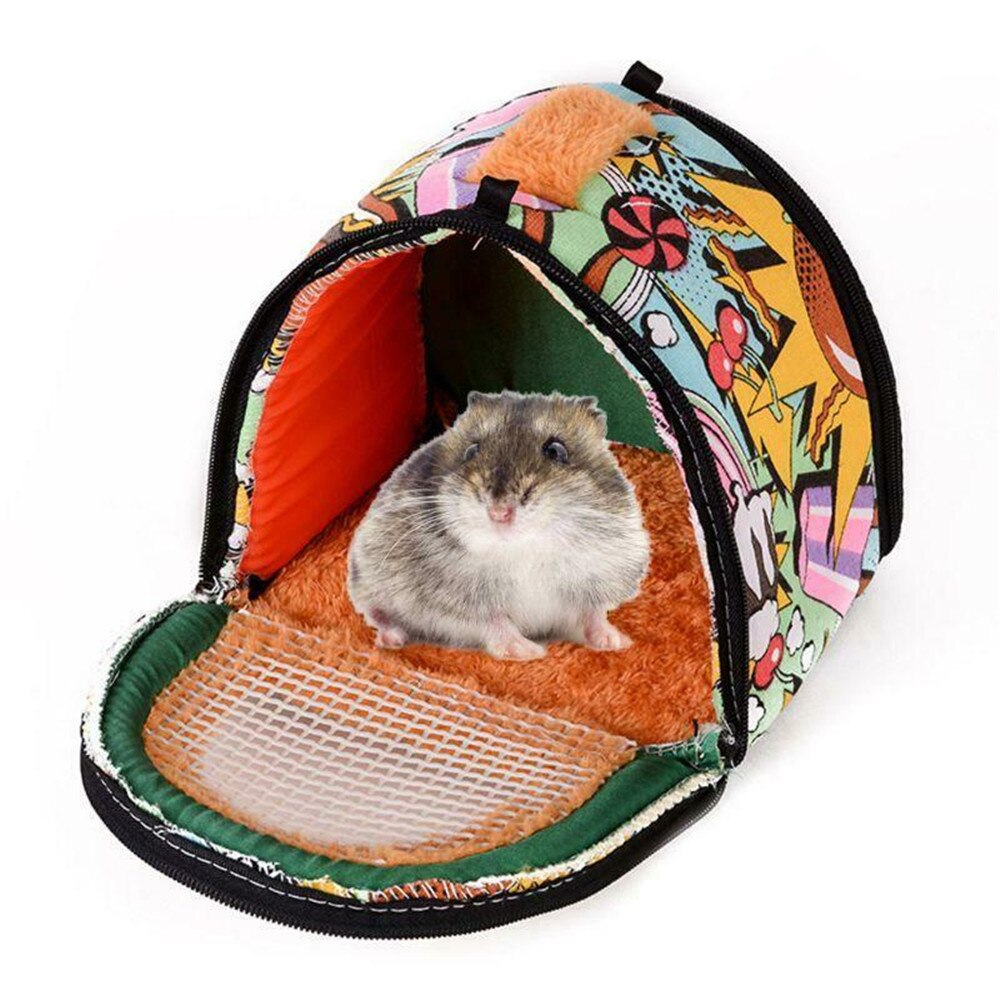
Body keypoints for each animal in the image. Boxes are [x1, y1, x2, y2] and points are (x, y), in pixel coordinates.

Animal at [347, 390, 650, 660]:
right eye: (472, 451)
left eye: (556, 450)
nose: (499, 513)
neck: (523, 549)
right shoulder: (459, 602)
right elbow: (495, 622)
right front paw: (530, 653)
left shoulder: (591, 583)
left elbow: (592, 614)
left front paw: (617, 642)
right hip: (367, 583)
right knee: (378, 615)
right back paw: (391, 640)